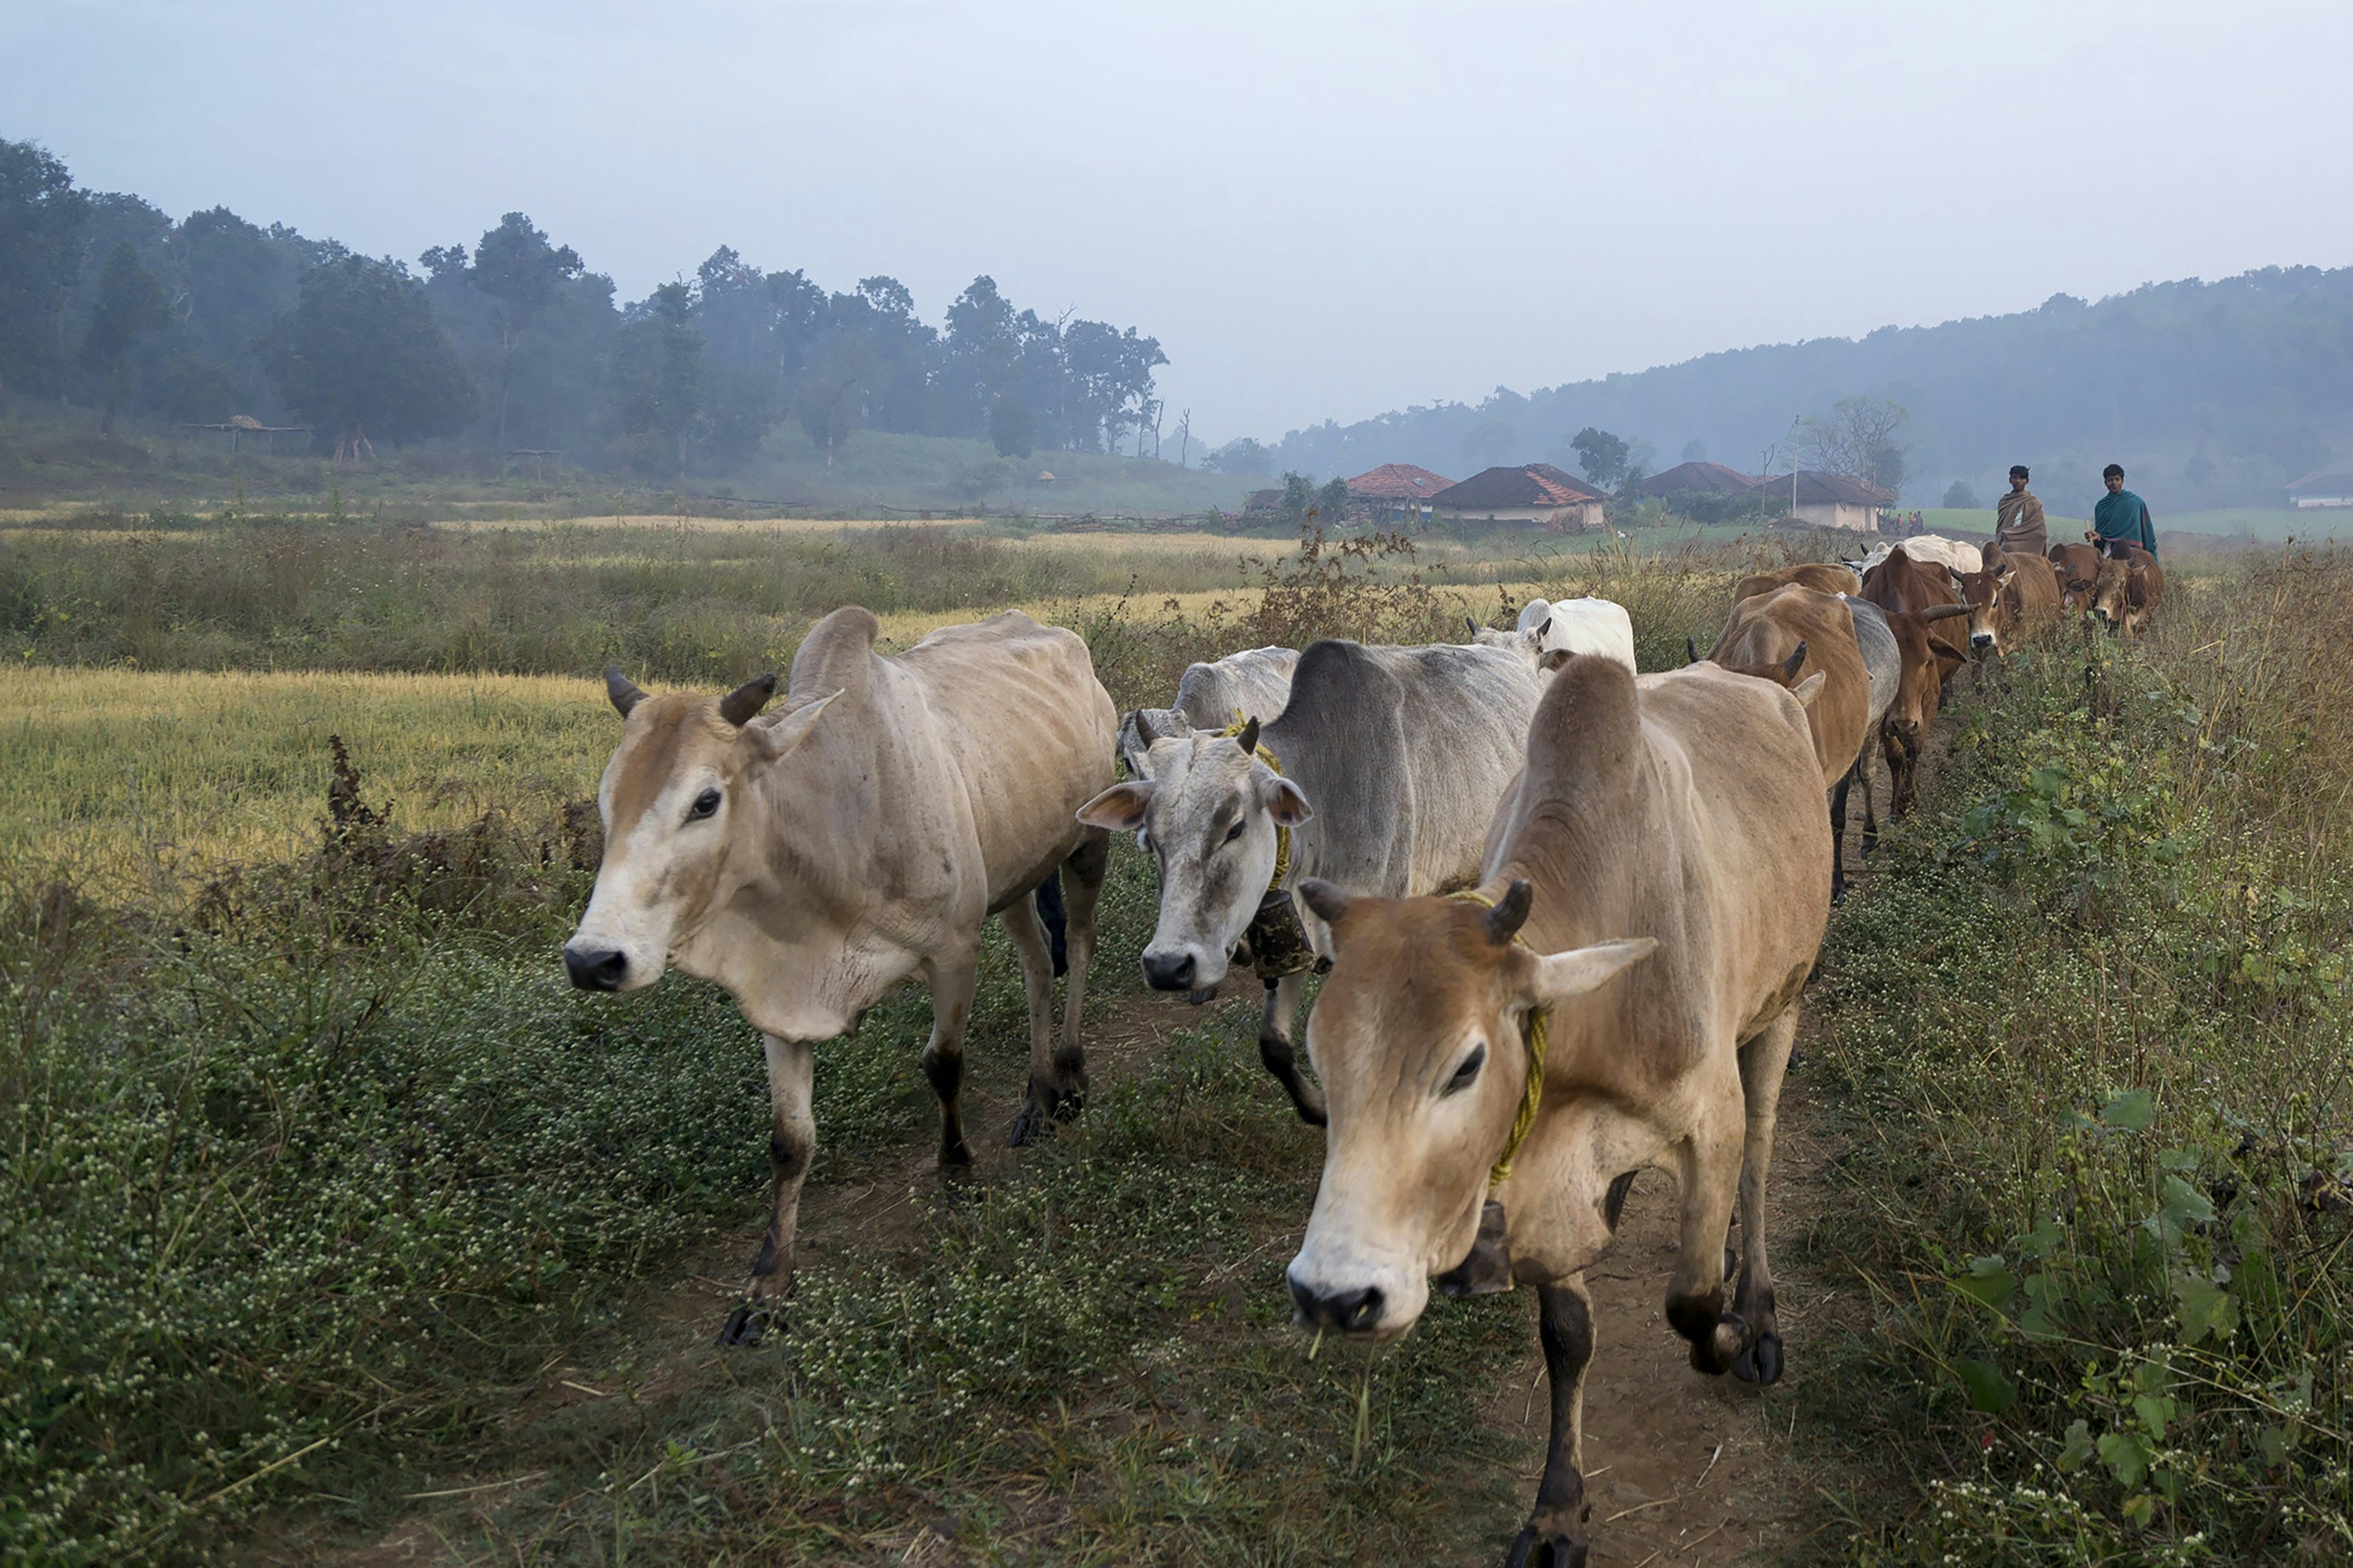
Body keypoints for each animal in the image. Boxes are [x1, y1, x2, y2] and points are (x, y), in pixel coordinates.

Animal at [564, 608, 1116, 1343]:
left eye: (705, 800)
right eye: (606, 802)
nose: (593, 958)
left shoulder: (953, 952)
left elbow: (944, 1066)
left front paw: (956, 1172)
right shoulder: (778, 998)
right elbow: (789, 1139)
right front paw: (766, 1285)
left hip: (1087, 845)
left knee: (1077, 948)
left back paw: (1072, 1076)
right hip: (1017, 876)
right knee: (1036, 968)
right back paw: (1035, 1098)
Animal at [1077, 637, 1546, 1124]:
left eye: (1235, 827)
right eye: (1155, 837)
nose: (1168, 966)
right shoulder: (1293, 941)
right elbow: (1275, 1045)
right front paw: (1319, 1107)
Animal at [1282, 653, 1830, 1568]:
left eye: (1467, 1064)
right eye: (1321, 1060)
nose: (1333, 1295)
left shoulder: (1709, 1121)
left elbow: (1692, 1299)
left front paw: (1723, 1336)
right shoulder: (1538, 1174)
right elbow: (1568, 1334)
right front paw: (1556, 1513)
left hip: (1781, 1007)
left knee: (1758, 1161)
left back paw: (1755, 1312)